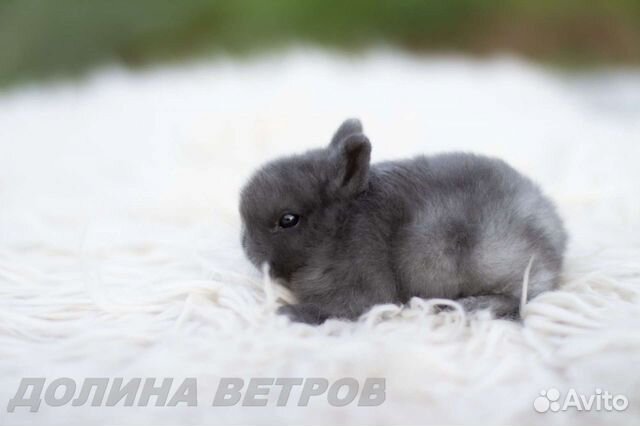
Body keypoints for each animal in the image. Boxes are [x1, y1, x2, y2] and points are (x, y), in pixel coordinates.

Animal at [239, 119, 567, 324]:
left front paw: (285, 313)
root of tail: (556, 235)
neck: (337, 229)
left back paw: (468, 306)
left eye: (288, 220)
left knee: (520, 298)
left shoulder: (360, 293)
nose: (246, 247)